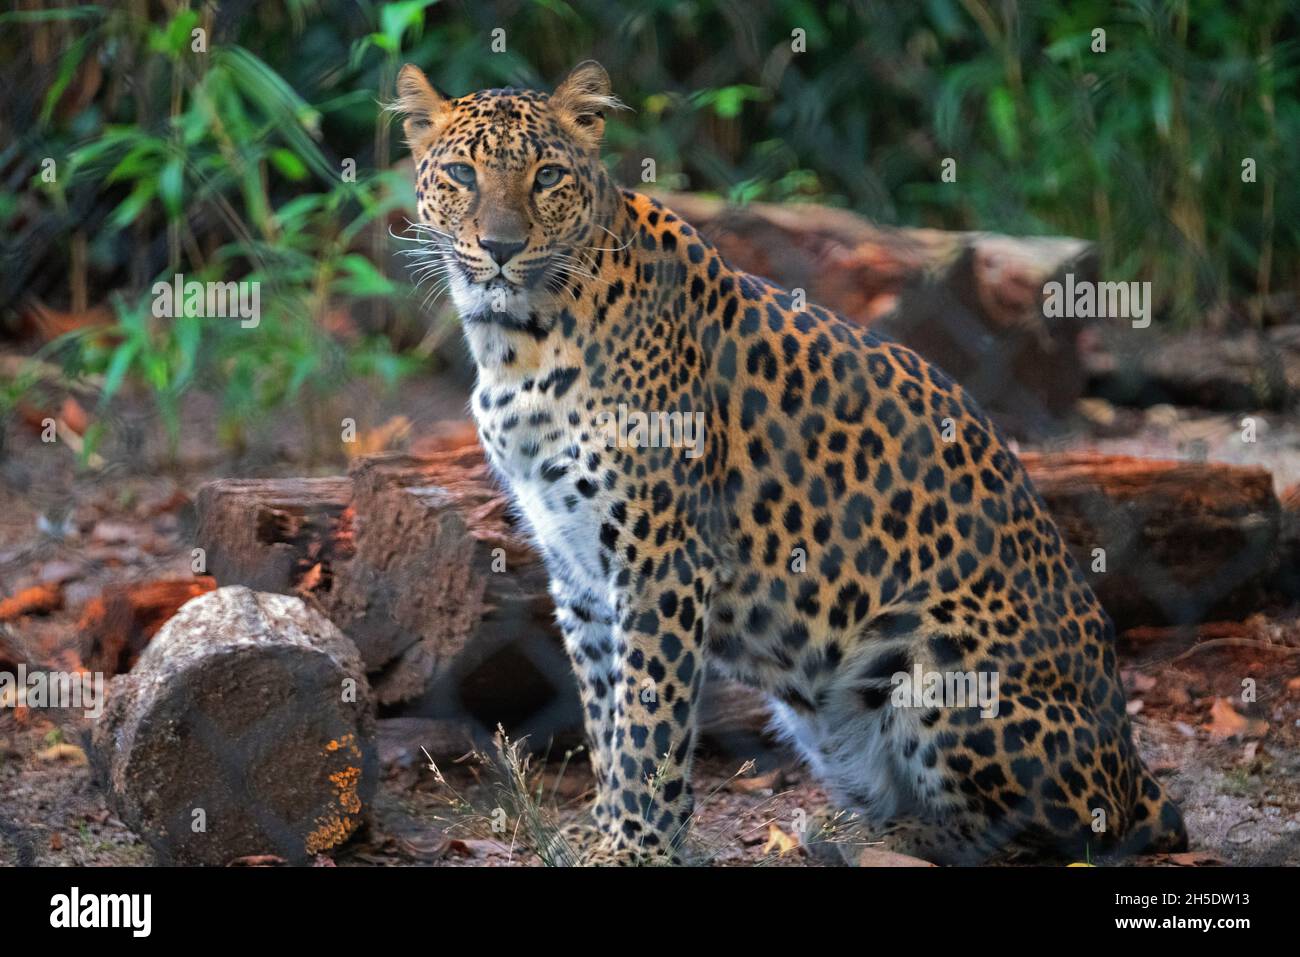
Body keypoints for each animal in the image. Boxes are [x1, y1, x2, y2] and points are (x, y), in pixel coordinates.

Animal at [393, 60, 1188, 866]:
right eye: (462, 173)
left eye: (548, 176)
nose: (499, 247)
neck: (515, 345)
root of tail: (1133, 764)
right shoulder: (577, 568)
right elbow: (604, 712)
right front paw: (609, 825)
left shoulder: (663, 558)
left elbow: (648, 715)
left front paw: (636, 845)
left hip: (940, 652)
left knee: (1057, 831)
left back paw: (883, 836)